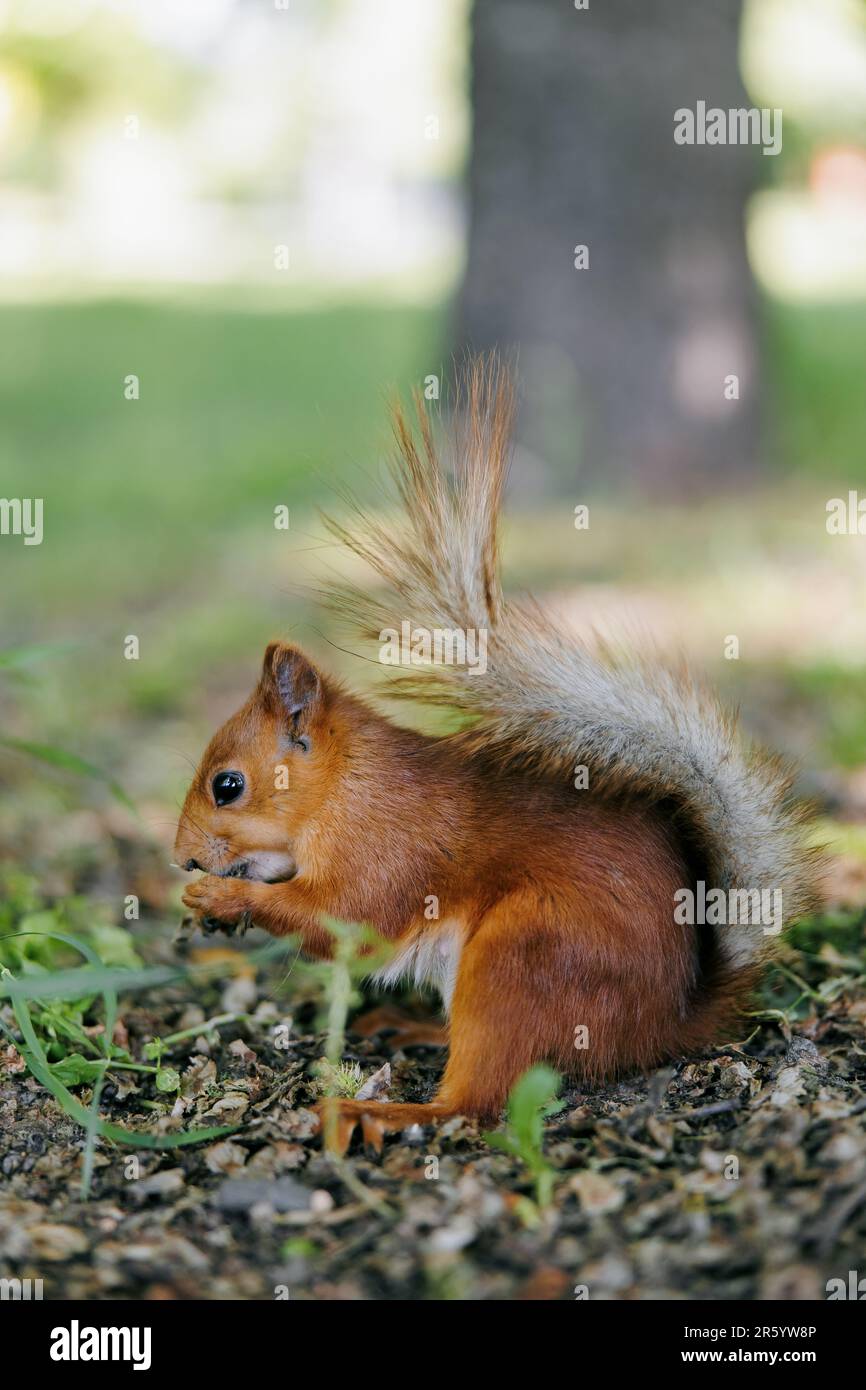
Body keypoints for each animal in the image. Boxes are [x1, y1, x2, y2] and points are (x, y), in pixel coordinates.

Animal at [175, 355, 821, 1151]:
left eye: (227, 786)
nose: (184, 859)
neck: (346, 789)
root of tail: (664, 1025)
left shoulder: (389, 852)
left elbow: (346, 921)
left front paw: (223, 897)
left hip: (524, 957)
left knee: (478, 1101)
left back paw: (383, 1110)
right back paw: (411, 1028)